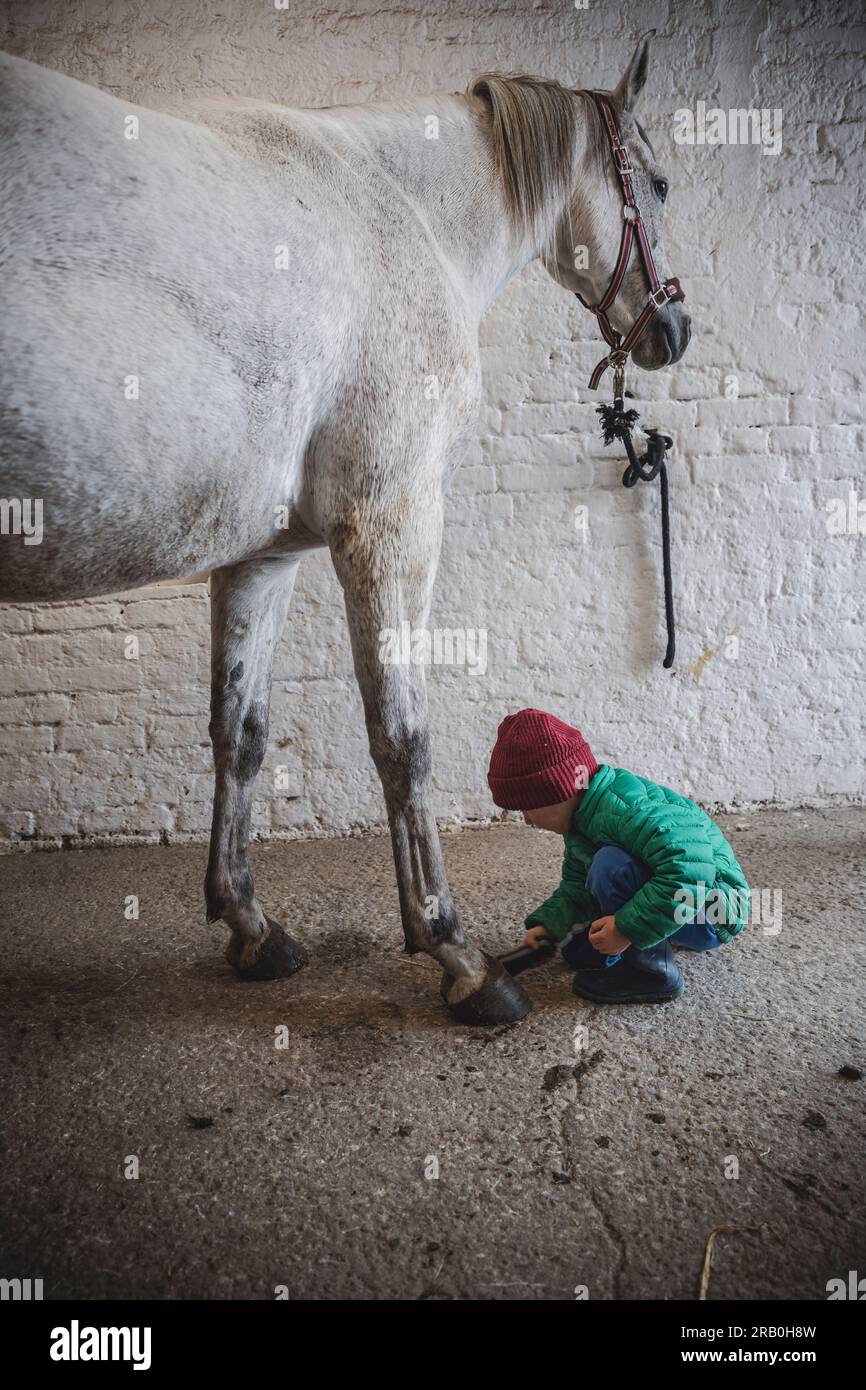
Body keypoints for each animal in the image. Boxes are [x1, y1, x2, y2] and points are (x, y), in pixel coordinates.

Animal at [0, 32, 690, 1024]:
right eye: (661, 184)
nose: (674, 327)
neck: (403, 213)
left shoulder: (263, 556)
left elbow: (241, 733)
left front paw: (251, 928)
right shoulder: (393, 522)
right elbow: (403, 738)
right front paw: (456, 953)